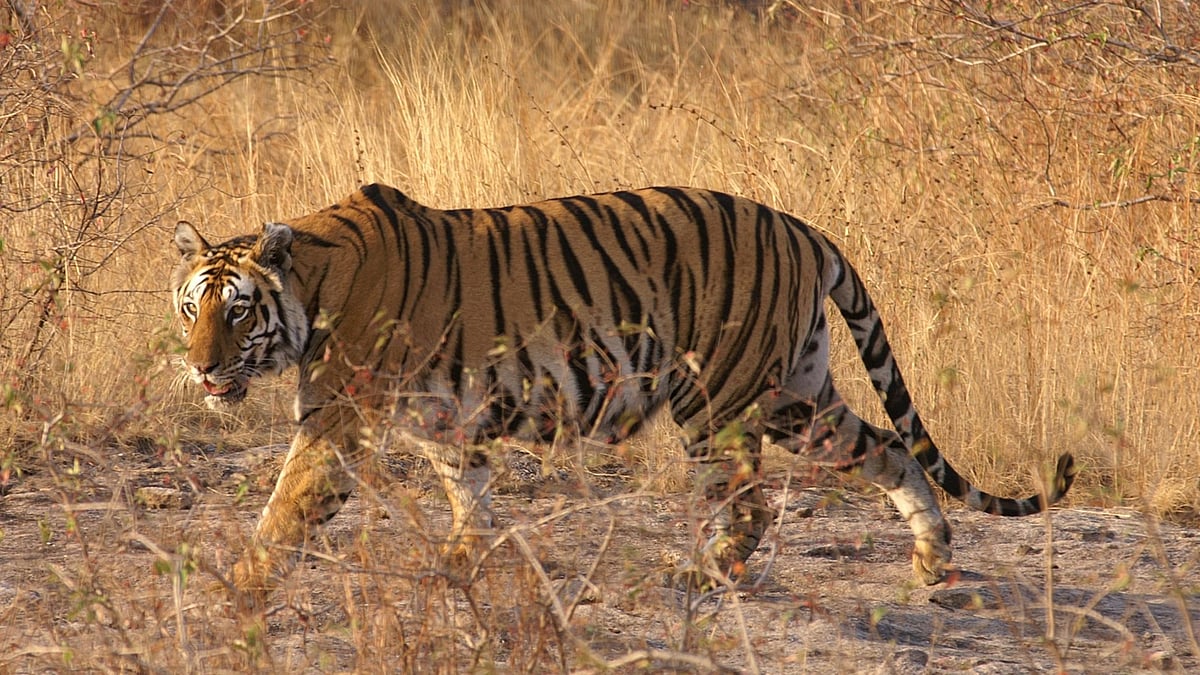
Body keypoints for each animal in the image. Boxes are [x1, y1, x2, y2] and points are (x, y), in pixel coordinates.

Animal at [171, 183, 1076, 606]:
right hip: (797, 390)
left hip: (722, 396)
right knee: (887, 447)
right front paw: (465, 560)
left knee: (750, 503)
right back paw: (932, 558)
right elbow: (471, 492)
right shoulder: (445, 418)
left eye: (239, 312)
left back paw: (703, 573)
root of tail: (802, 227)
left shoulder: (336, 420)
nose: (204, 370)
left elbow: (284, 508)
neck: (310, 288)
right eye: (192, 308)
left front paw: (236, 585)